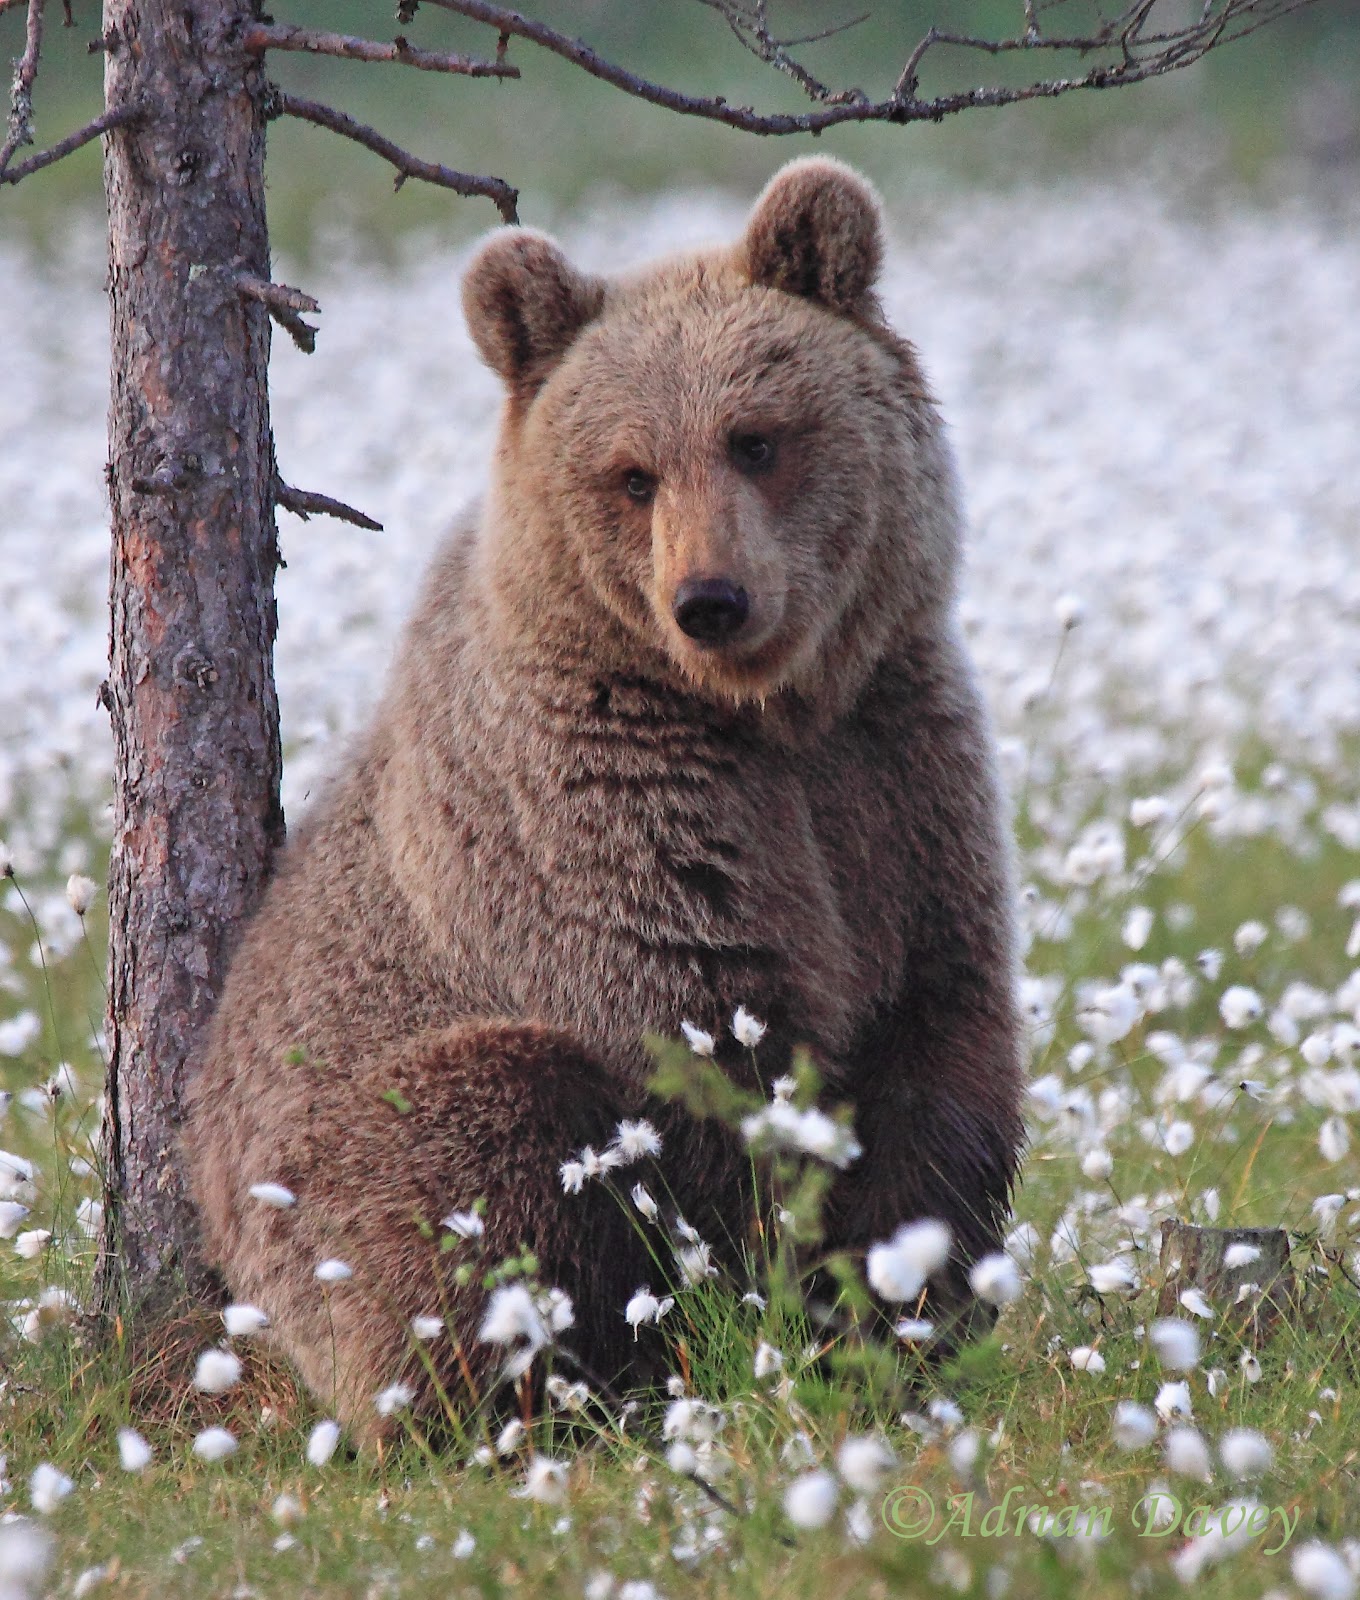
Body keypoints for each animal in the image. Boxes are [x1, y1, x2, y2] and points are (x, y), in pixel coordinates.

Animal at [184, 155, 1024, 1439]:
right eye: (632, 472)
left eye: (756, 437)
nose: (710, 598)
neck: (768, 716)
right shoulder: (600, 812)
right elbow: (698, 1052)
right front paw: (771, 1321)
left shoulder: (893, 767)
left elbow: (937, 1041)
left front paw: (905, 1309)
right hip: (327, 1172)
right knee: (488, 1135)